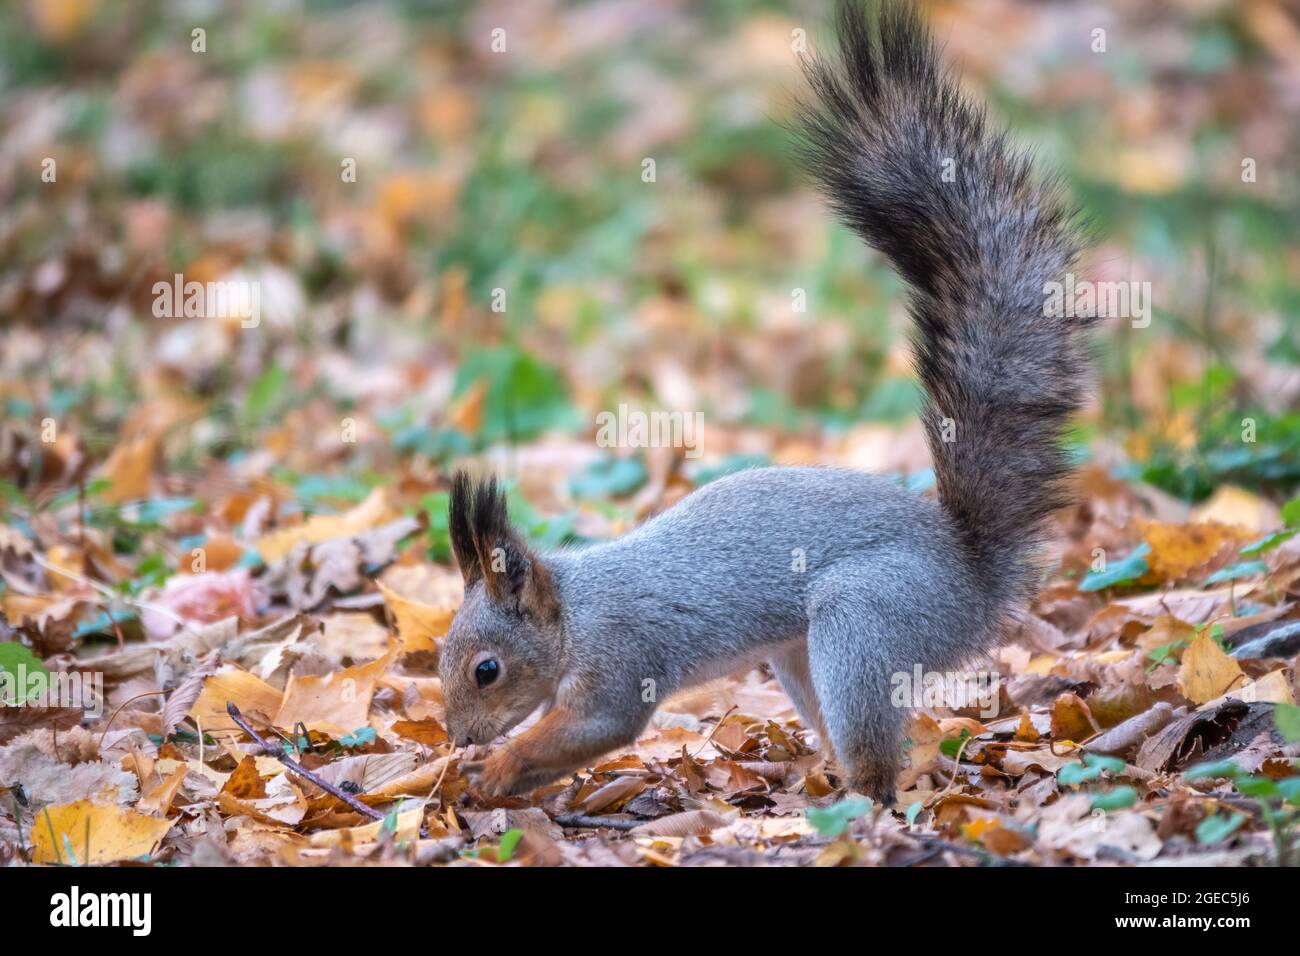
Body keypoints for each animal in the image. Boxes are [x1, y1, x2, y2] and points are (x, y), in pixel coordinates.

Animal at [440, 0, 1091, 804]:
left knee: (876, 753)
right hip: (799, 654)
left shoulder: (624, 659)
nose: (456, 738)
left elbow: (599, 728)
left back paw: (855, 801)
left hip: (865, 618)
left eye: (487, 669)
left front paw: (500, 767)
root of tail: (973, 579)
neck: (576, 614)